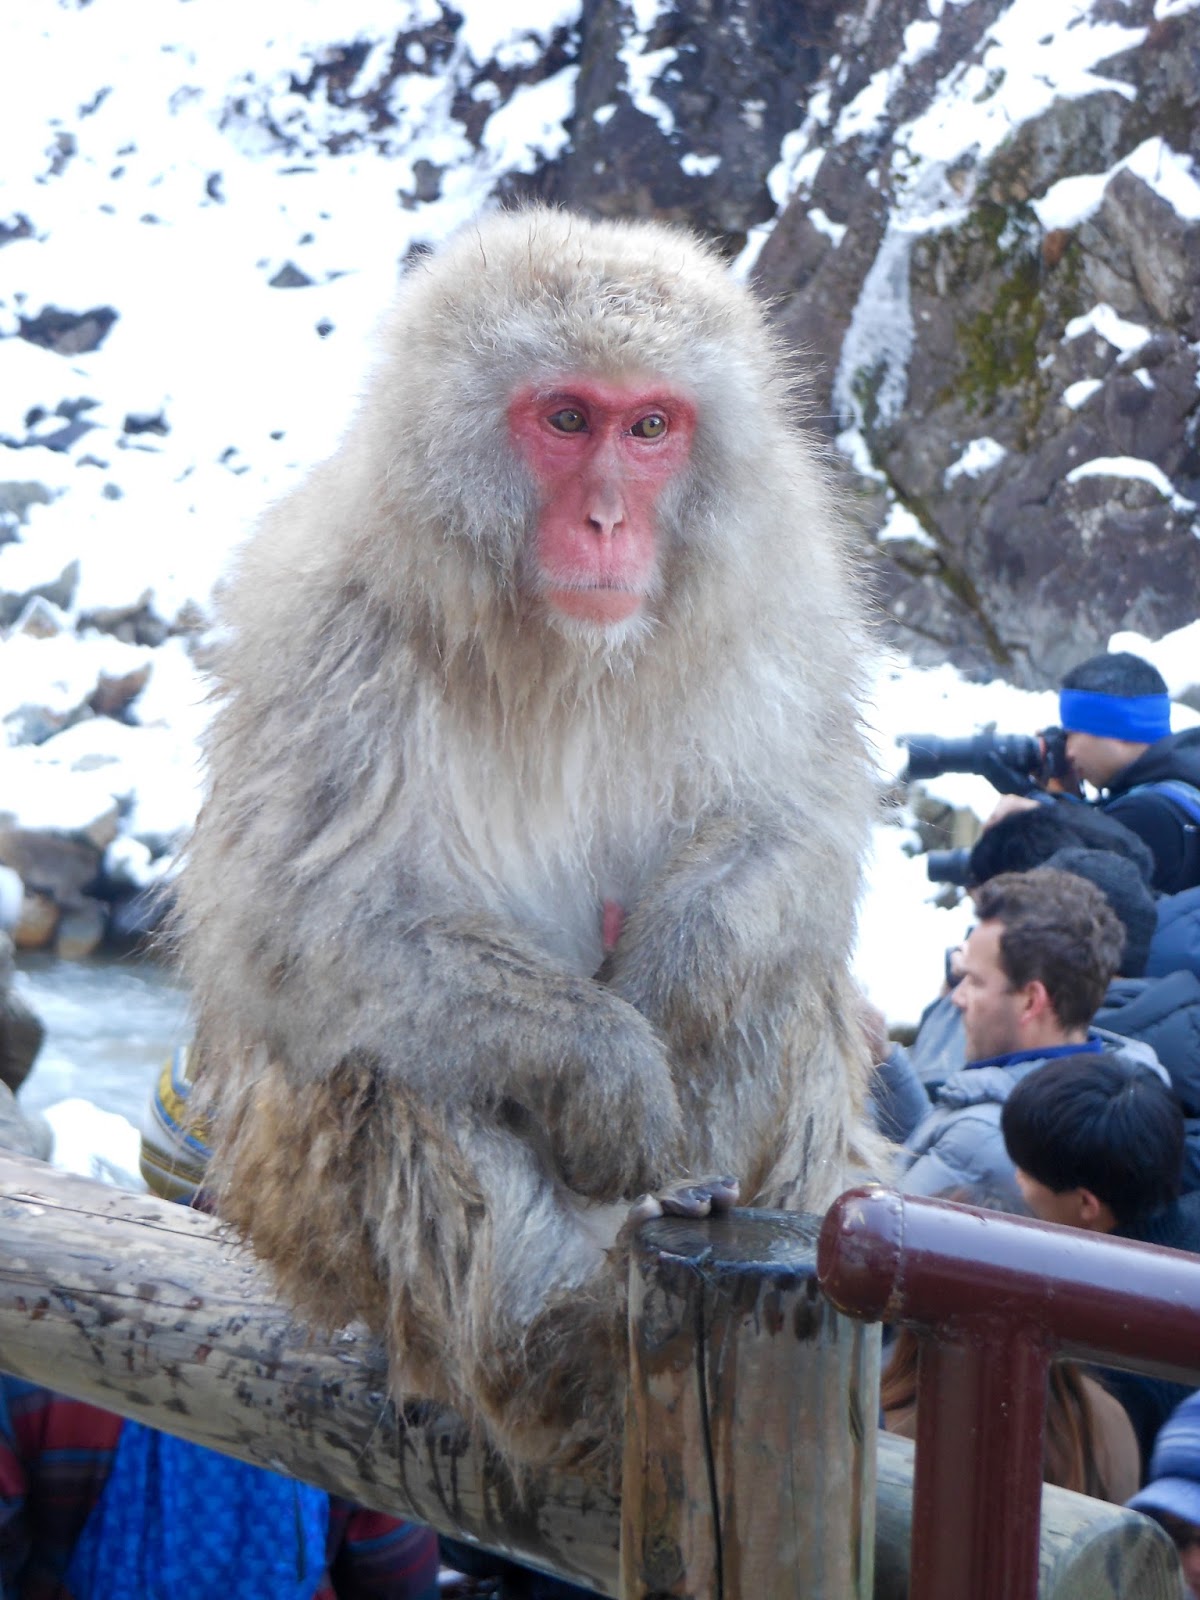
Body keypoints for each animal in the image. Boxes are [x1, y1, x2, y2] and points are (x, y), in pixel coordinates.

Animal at [177, 206, 880, 1481]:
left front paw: (666, 981)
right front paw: (611, 1070)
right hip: (317, 1228)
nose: (607, 520)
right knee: (395, 1052)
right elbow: (296, 923)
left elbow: (793, 822)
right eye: (565, 420)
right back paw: (545, 1344)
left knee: (780, 980)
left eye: (649, 427)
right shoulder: (326, 628)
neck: (561, 652)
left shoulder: (779, 609)